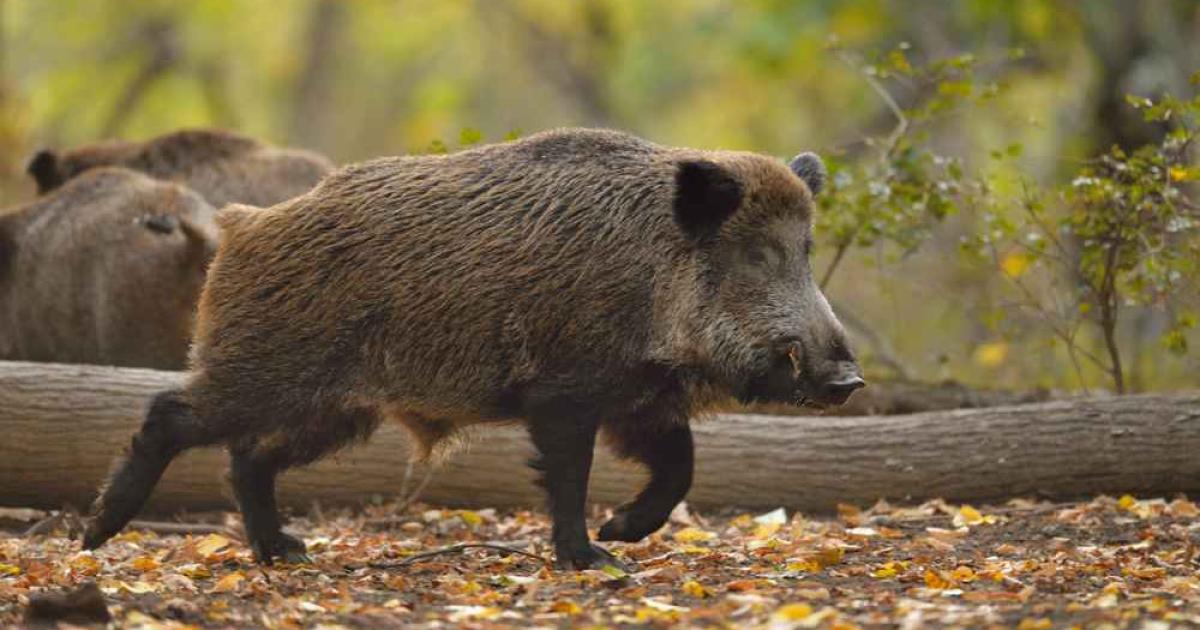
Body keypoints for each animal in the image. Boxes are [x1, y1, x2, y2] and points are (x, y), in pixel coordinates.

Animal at [83, 129, 864, 570]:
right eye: (757, 255)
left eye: (806, 250)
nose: (848, 379)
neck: (650, 281)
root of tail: (241, 226)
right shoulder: (563, 392)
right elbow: (569, 475)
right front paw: (594, 559)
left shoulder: (640, 400)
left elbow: (680, 468)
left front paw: (621, 532)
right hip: (264, 371)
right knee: (173, 412)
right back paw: (96, 535)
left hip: (335, 411)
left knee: (249, 458)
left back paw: (284, 553)